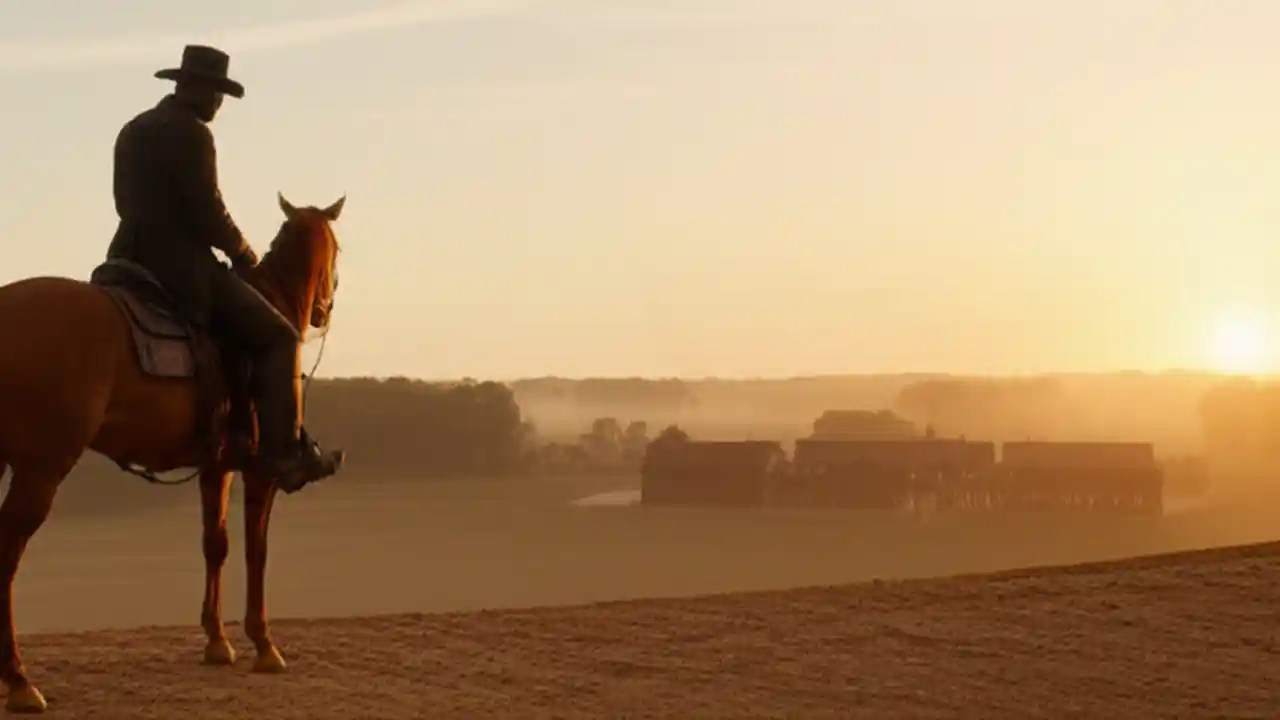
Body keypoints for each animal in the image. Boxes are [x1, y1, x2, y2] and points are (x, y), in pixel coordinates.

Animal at [0, 193, 345, 713]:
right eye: (338, 250)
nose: (324, 309)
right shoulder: (261, 471)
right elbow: (257, 550)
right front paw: (264, 645)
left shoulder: (216, 466)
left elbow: (215, 544)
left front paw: (217, 642)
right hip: (41, 468)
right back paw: (19, 681)